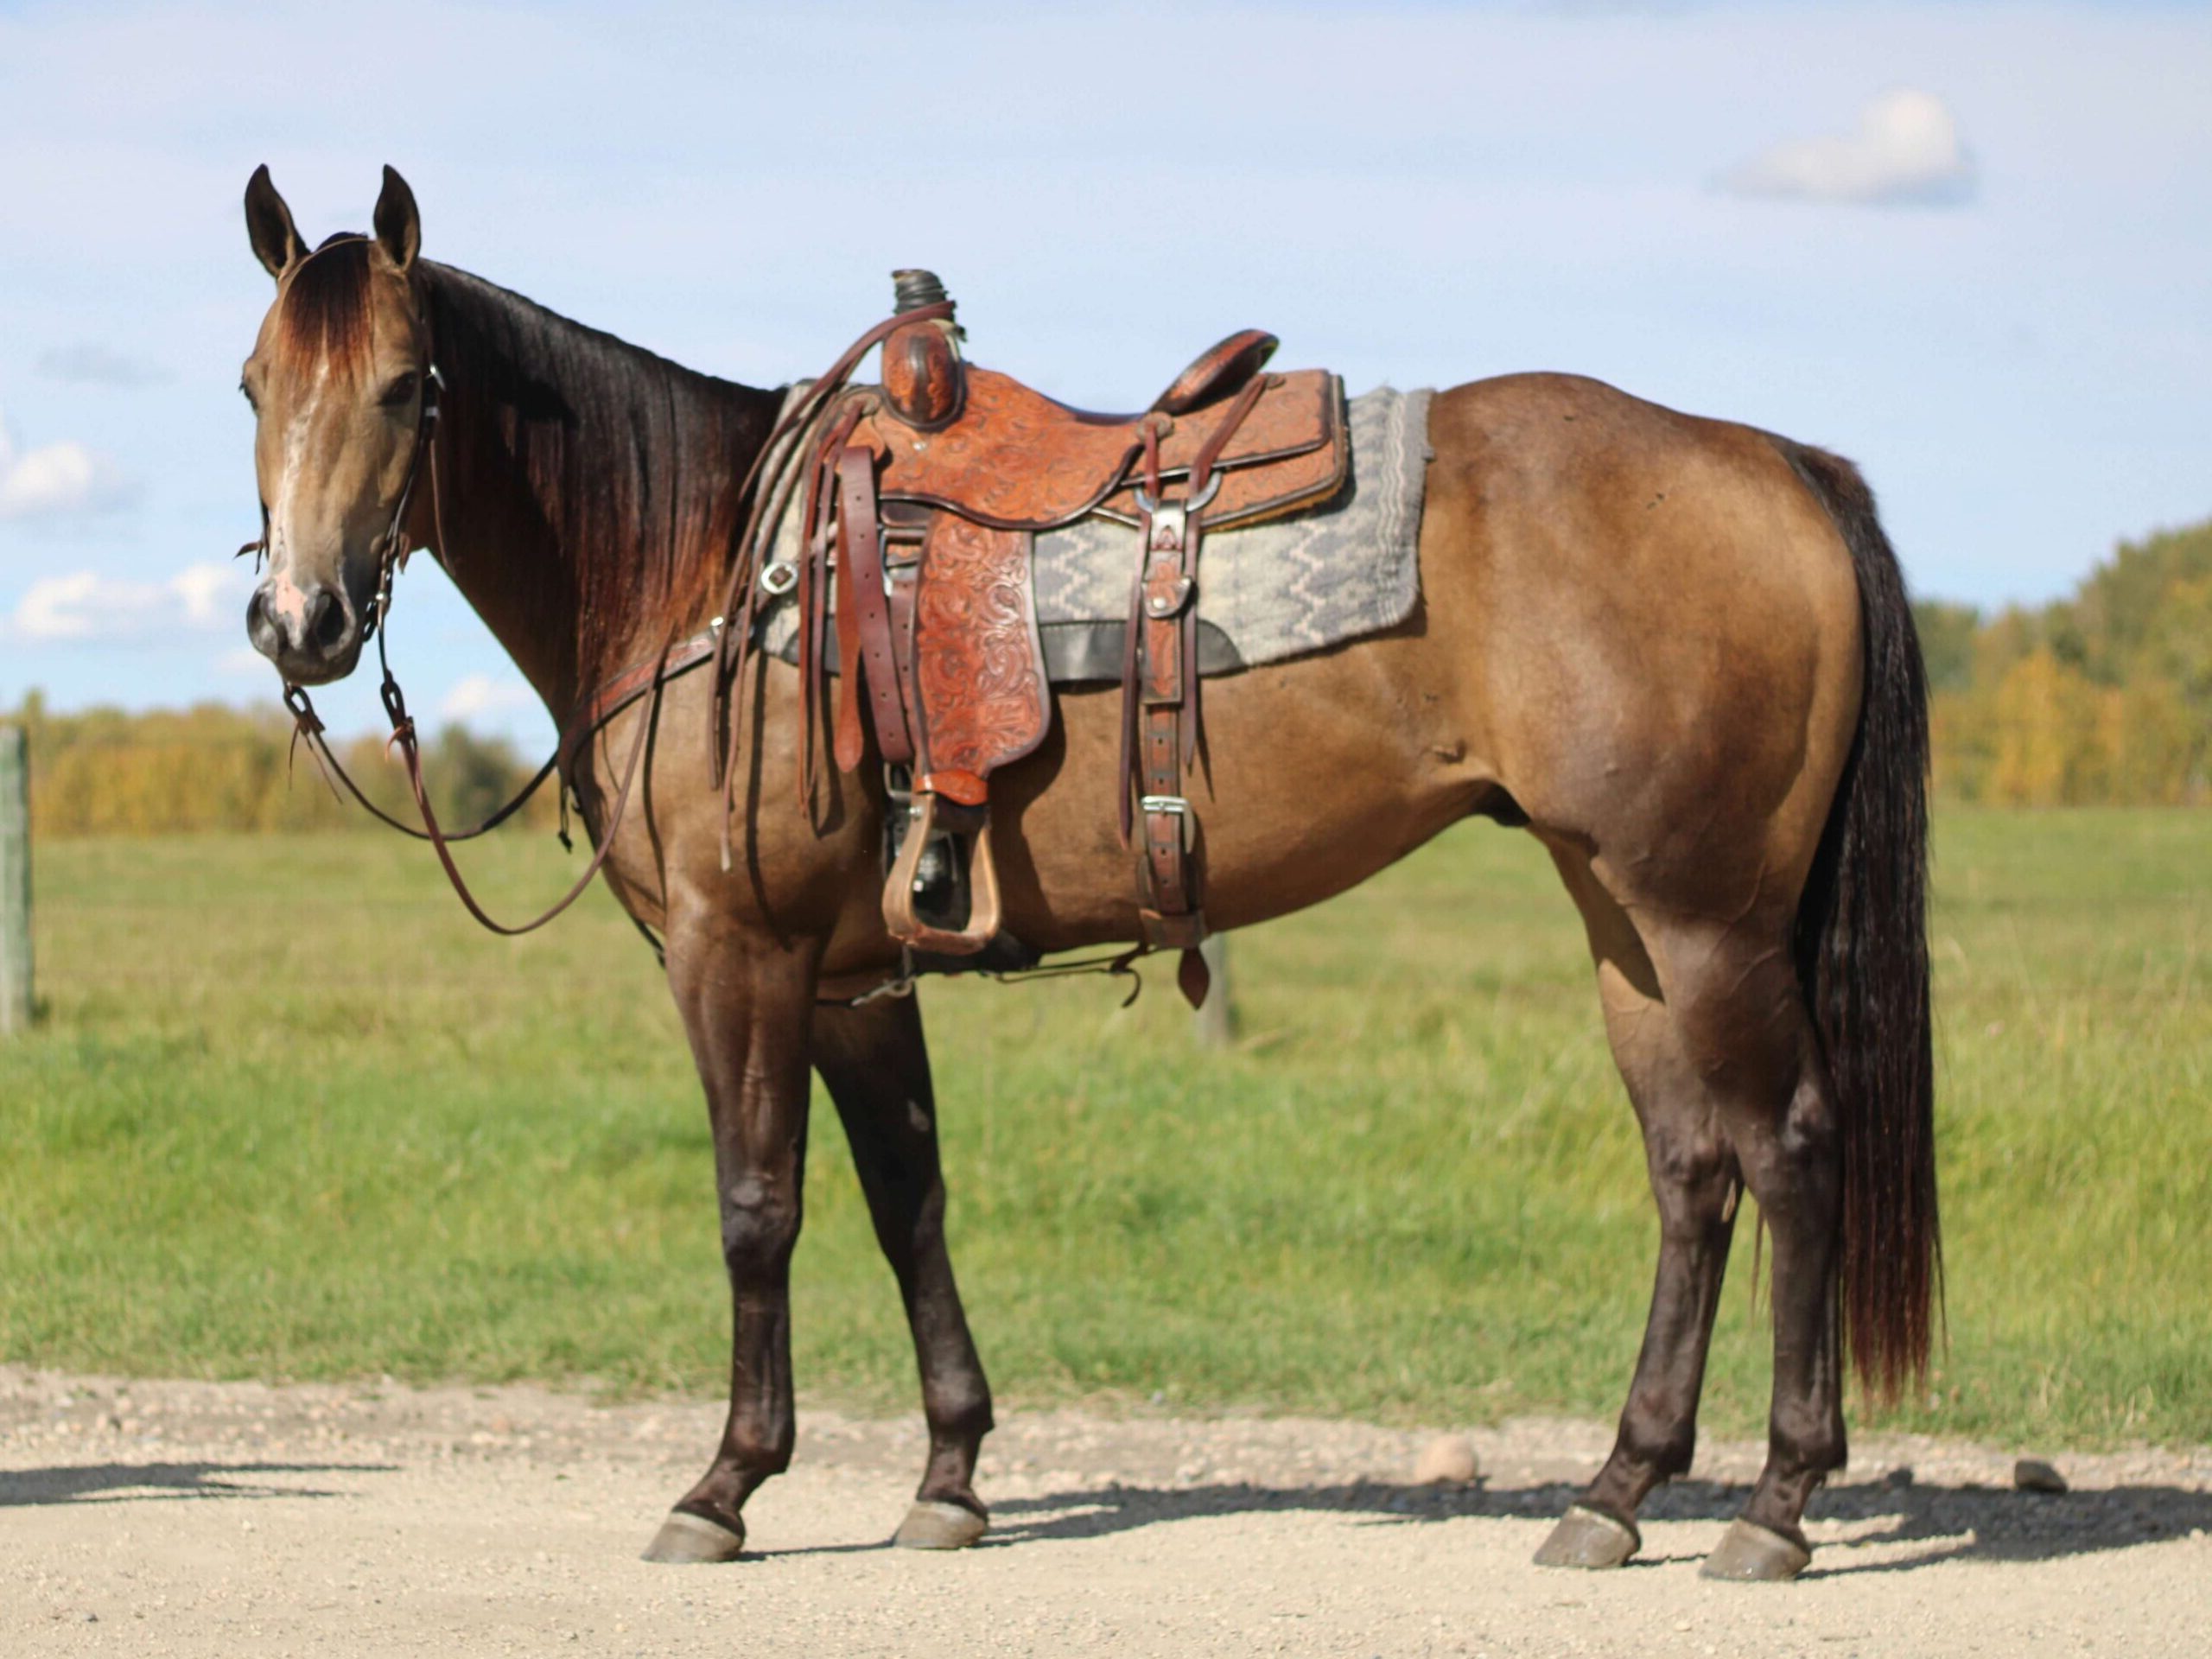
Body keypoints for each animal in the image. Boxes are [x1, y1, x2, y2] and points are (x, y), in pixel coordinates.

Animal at [234, 164, 1936, 1582]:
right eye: (255, 382)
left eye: (408, 386)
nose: (300, 620)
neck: (707, 564)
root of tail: (1776, 460)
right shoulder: (852, 977)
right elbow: (908, 1200)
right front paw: (948, 1477)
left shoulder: (743, 952)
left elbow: (758, 1208)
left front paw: (726, 1485)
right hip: (1624, 919)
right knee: (1692, 1173)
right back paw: (1617, 1492)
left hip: (1706, 923)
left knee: (1789, 1151)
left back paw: (1778, 1506)